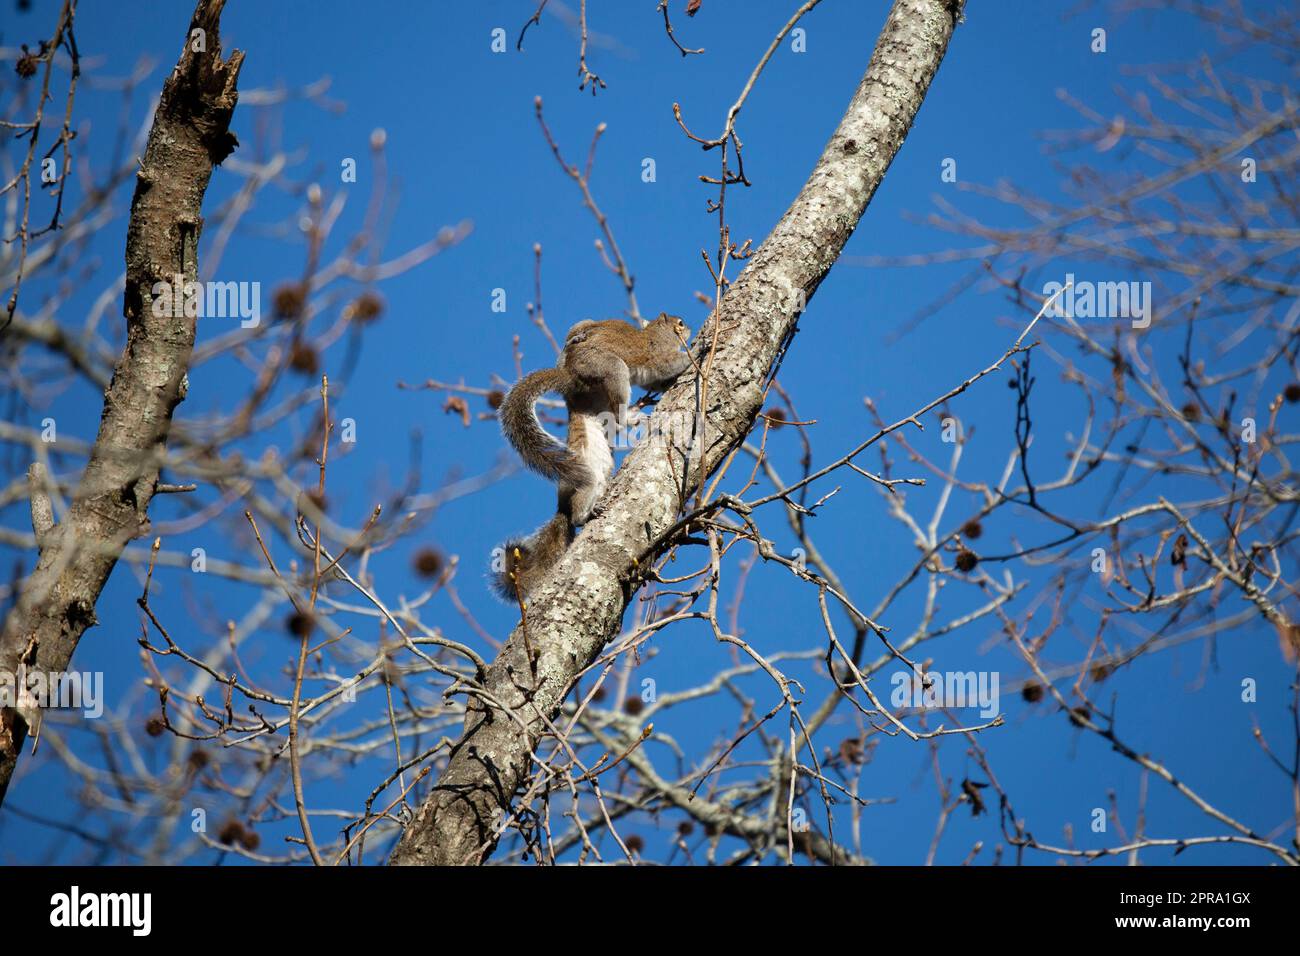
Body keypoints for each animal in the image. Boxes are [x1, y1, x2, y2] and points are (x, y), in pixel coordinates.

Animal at [494, 313, 692, 601]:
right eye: (680, 322)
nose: (688, 329)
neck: (657, 332)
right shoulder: (659, 355)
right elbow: (671, 364)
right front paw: (698, 350)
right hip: (611, 368)